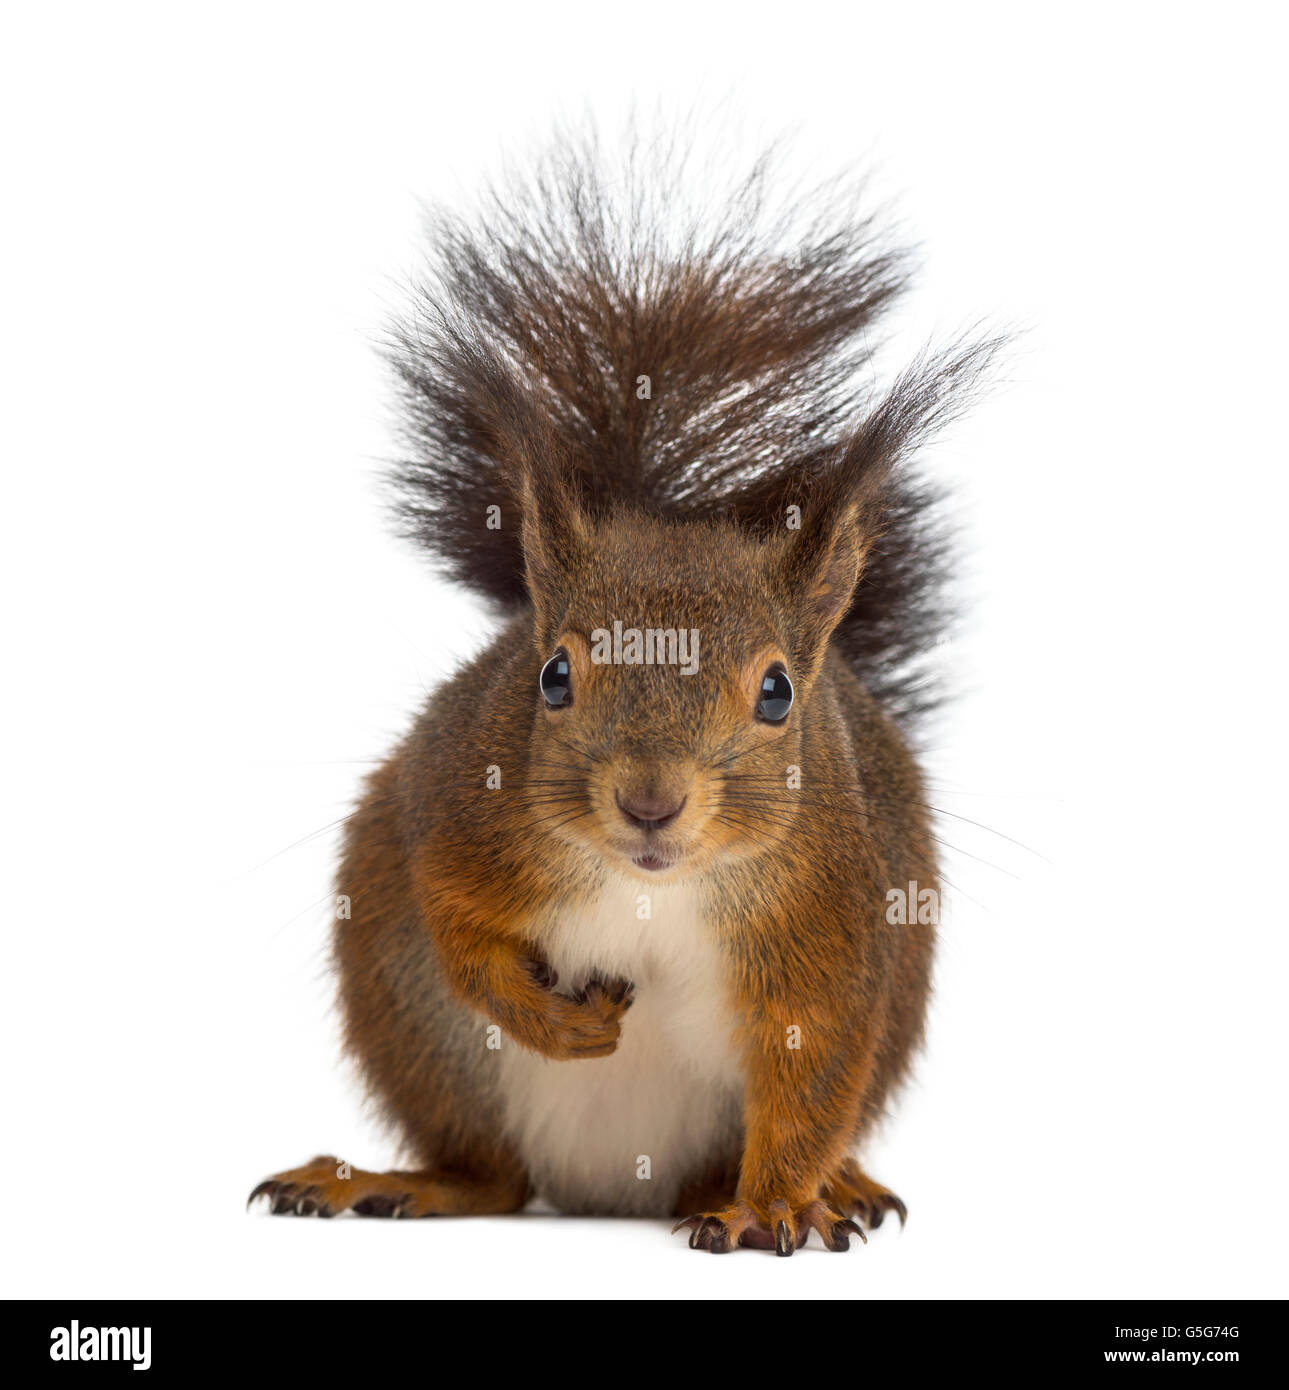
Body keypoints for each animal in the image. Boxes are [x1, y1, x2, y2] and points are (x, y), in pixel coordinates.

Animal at [249, 136, 998, 1254]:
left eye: (777, 692)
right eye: (552, 674)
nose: (650, 803)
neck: (653, 888)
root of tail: (611, 1187)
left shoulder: (832, 921)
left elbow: (812, 1070)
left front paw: (776, 1205)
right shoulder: (459, 814)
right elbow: (457, 926)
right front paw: (553, 1019)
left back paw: (813, 1189)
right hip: (411, 1016)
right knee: (490, 1175)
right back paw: (390, 1183)